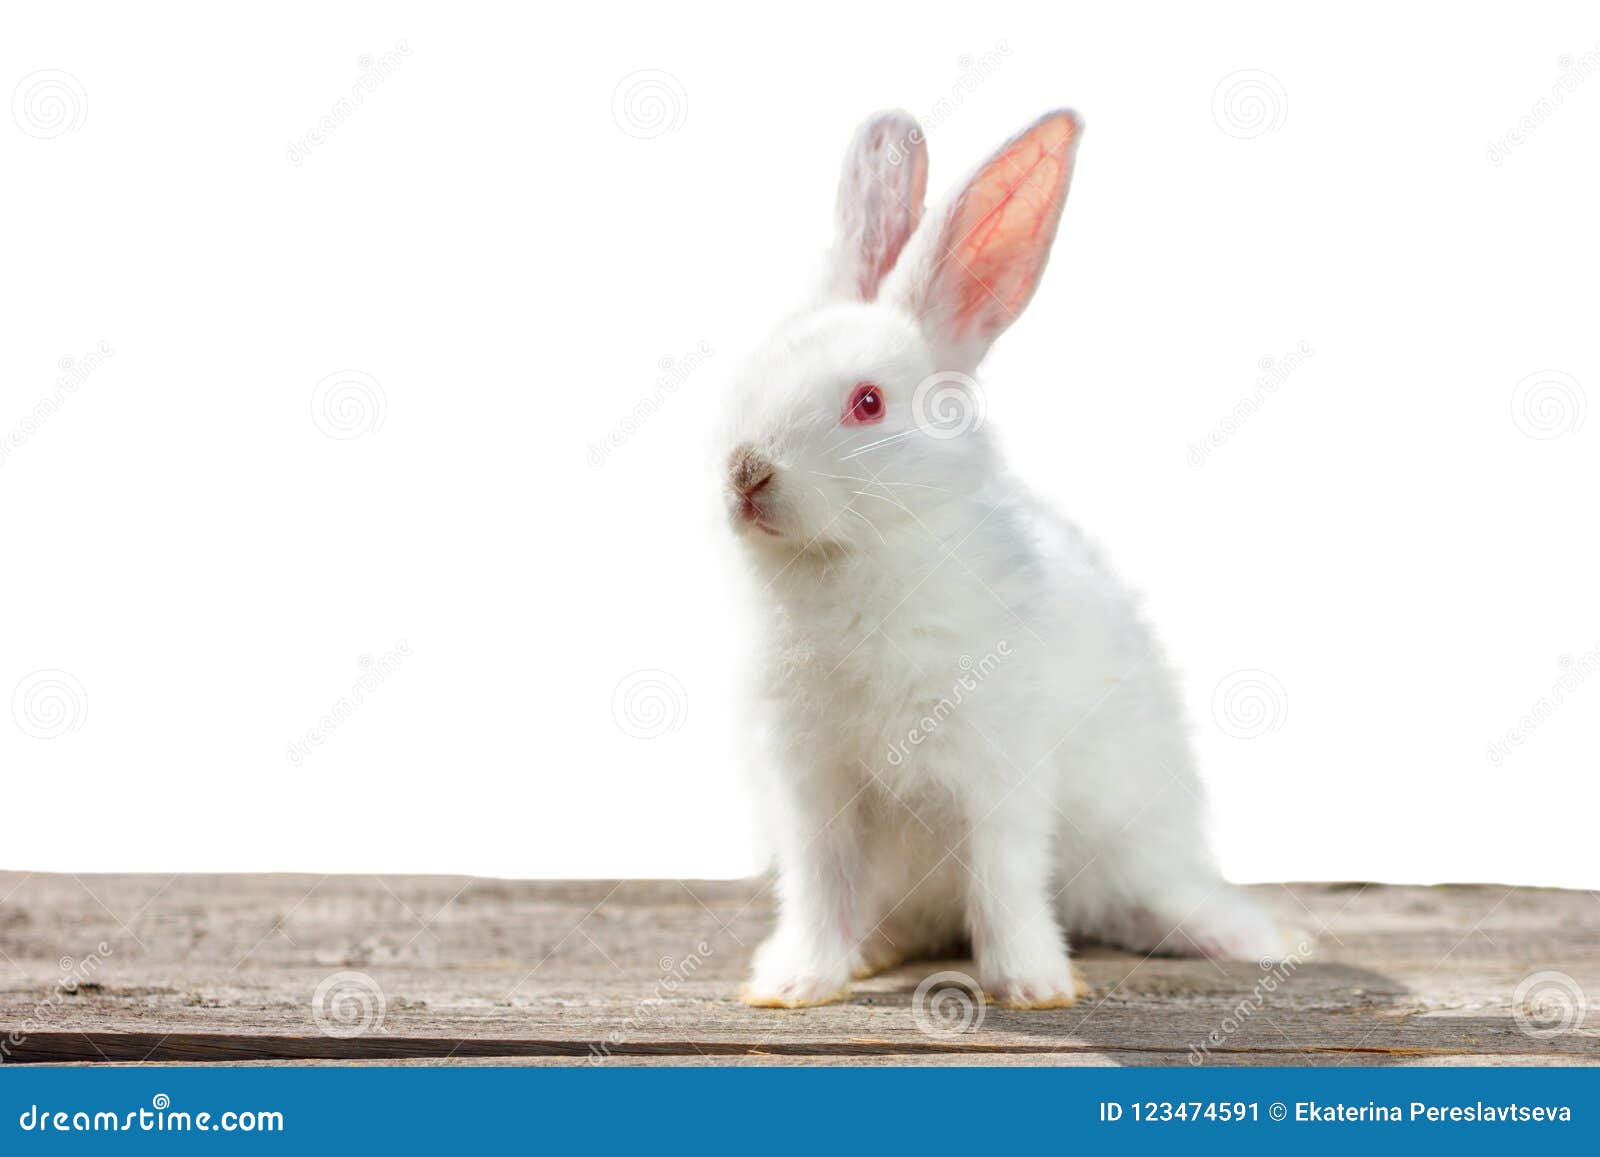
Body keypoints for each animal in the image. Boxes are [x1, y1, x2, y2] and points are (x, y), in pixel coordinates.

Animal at [719, 109, 1289, 1009]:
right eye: (754, 373)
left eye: (867, 403)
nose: (746, 471)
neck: (860, 557)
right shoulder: (813, 784)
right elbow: (819, 885)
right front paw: (797, 981)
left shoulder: (998, 768)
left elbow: (1006, 879)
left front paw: (1034, 985)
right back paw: (876, 949)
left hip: (1135, 841)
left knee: (1136, 897)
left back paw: (1241, 937)